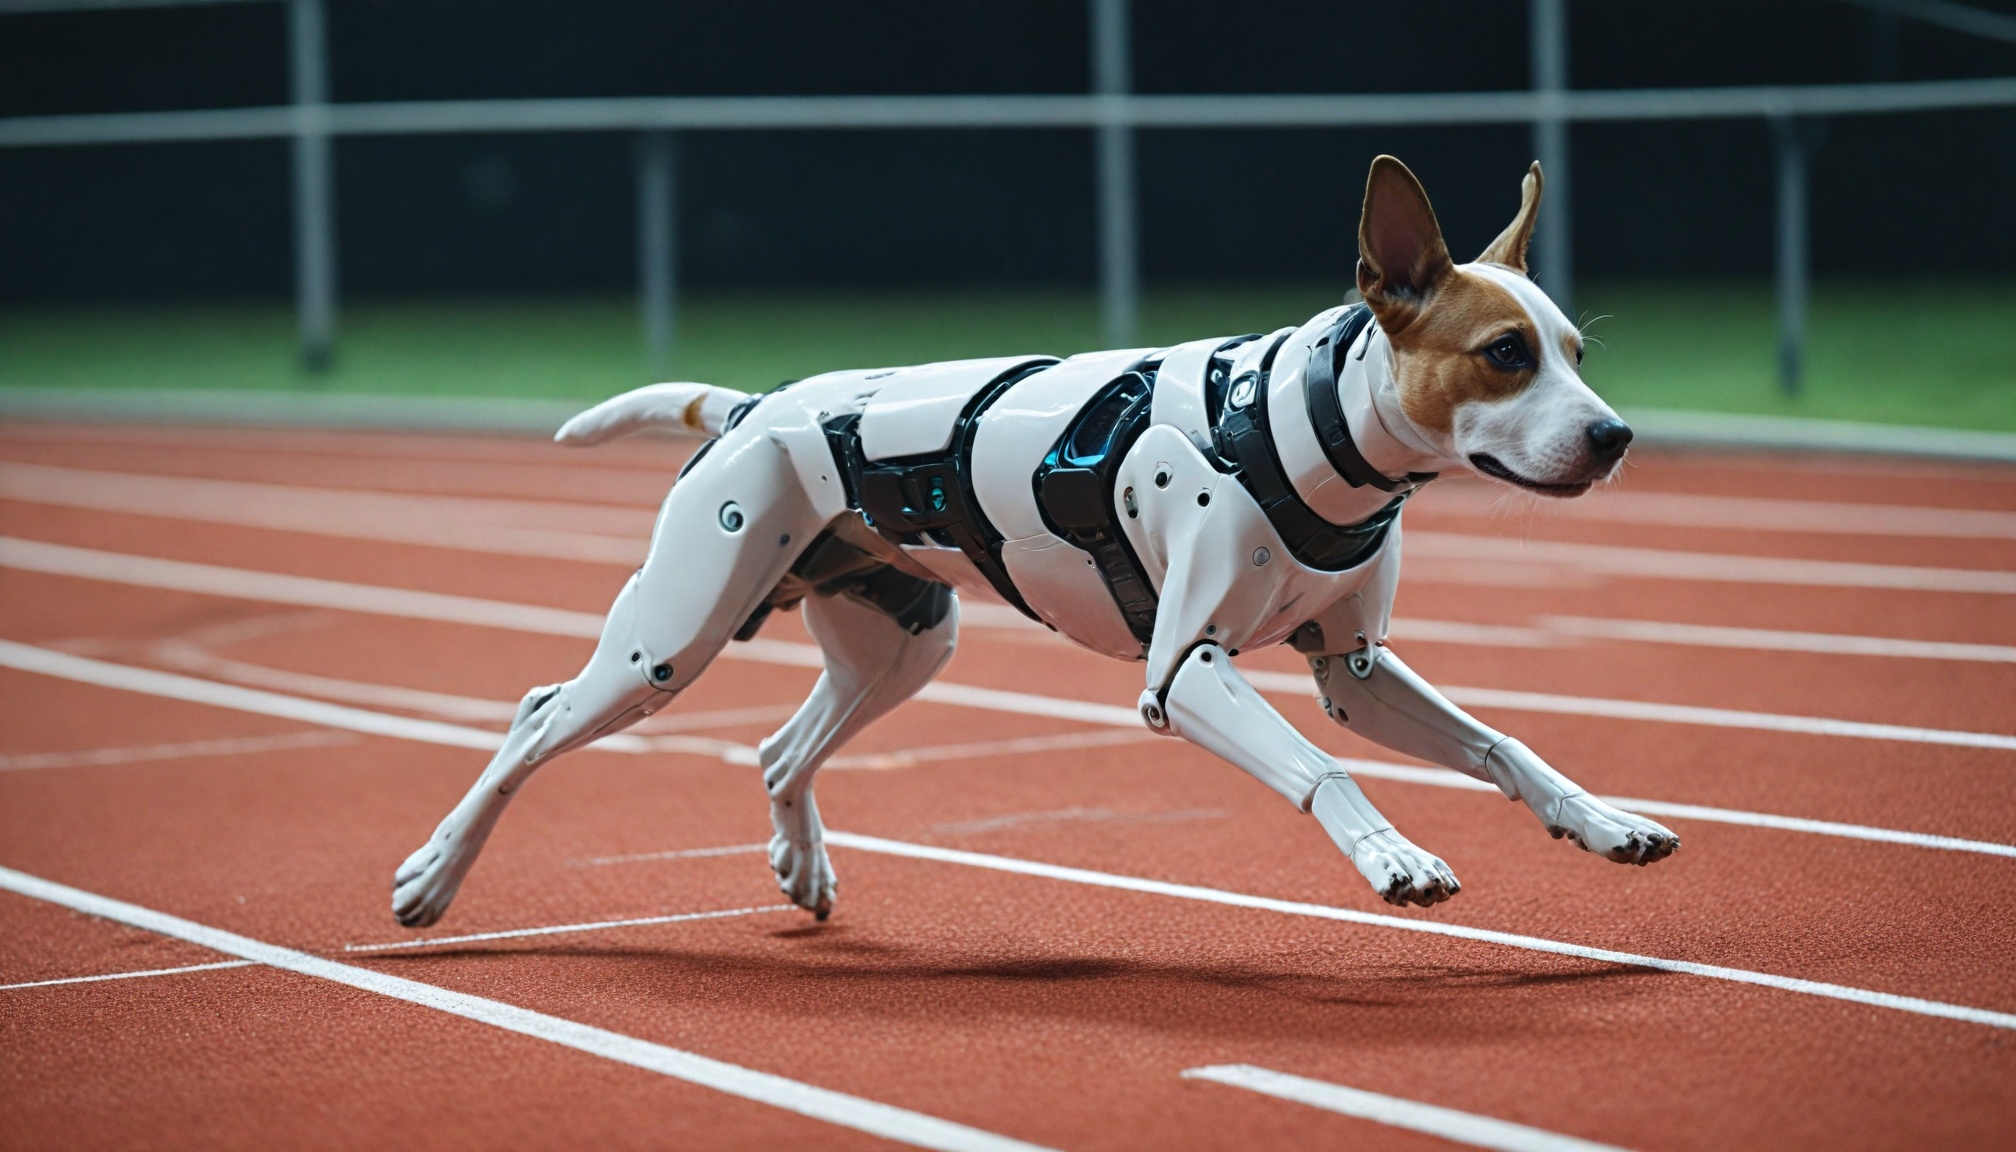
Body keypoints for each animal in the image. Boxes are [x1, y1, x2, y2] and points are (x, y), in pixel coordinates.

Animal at [389, 155, 1669, 928]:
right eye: (1504, 353)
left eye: (1577, 353)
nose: (1616, 436)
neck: (1299, 424)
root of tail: (757, 407)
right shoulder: (1185, 672)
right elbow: (1322, 768)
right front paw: (1394, 856)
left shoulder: (1354, 670)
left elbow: (1502, 745)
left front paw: (1601, 820)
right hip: (665, 643)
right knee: (535, 719)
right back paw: (433, 874)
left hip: (904, 645)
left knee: (782, 748)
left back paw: (802, 863)